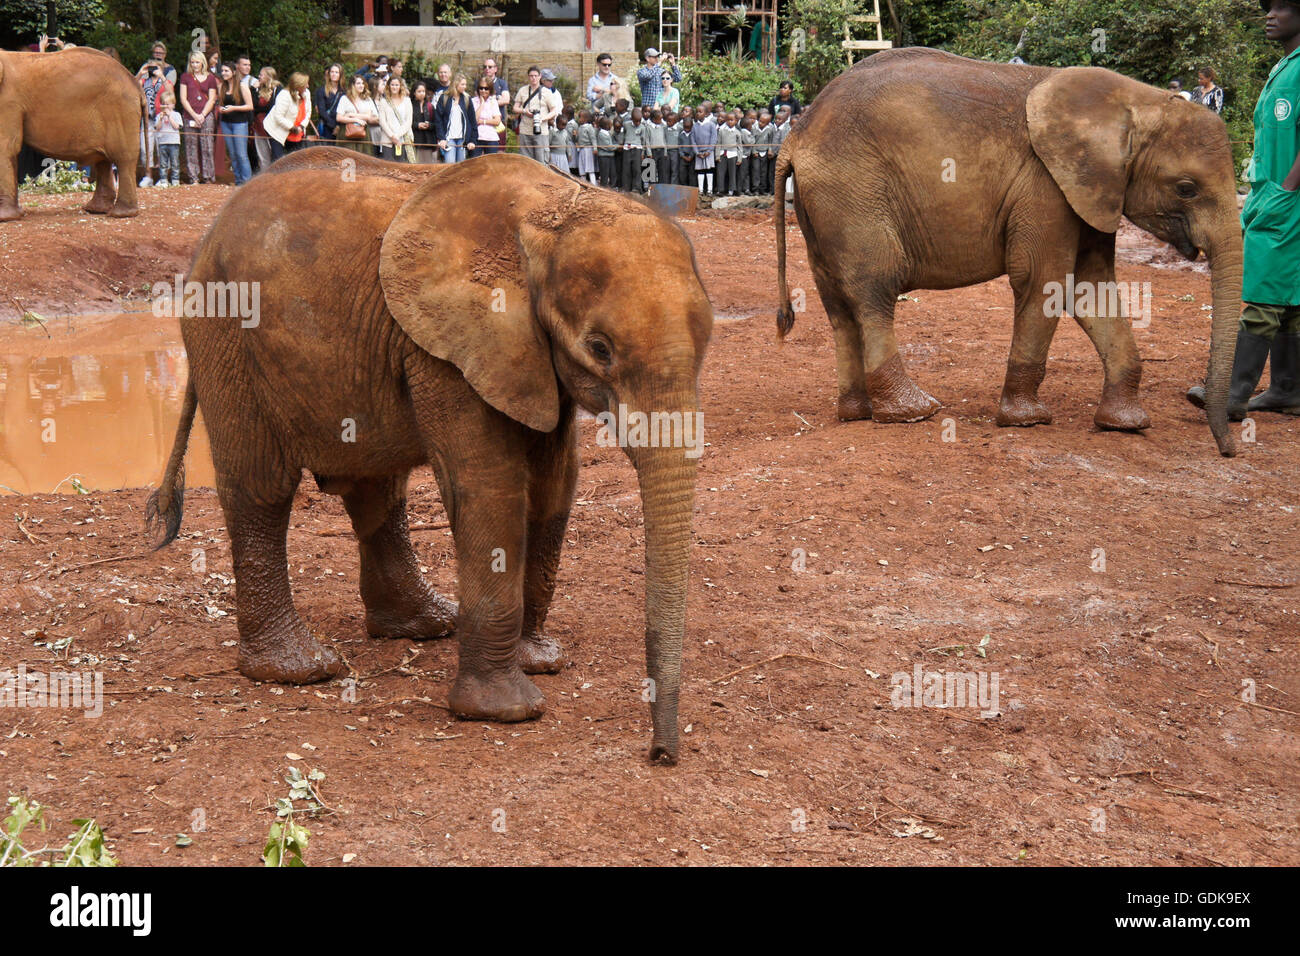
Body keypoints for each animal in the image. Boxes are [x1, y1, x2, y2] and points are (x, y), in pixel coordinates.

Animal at [0, 47, 145, 220]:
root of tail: (136, 84)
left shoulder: (9, 102)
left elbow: (6, 147)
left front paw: (5, 218)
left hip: (119, 110)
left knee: (123, 159)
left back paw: (121, 214)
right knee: (104, 161)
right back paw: (96, 210)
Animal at [147, 151, 713, 764]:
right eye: (600, 348)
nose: (661, 754)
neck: (557, 204)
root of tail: (207, 237)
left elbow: (555, 481)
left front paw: (541, 660)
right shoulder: (449, 346)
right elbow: (489, 481)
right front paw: (505, 711)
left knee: (374, 487)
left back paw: (423, 626)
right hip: (227, 335)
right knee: (262, 487)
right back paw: (300, 669)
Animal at [775, 48, 1241, 457]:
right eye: (1186, 188)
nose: (1227, 451)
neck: (1136, 100)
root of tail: (796, 134)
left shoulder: (1092, 192)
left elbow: (1090, 288)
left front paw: (1126, 424)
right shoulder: (1046, 185)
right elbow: (1044, 280)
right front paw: (1027, 420)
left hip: (825, 205)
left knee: (838, 303)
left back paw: (857, 412)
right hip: (854, 192)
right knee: (875, 290)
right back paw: (914, 412)